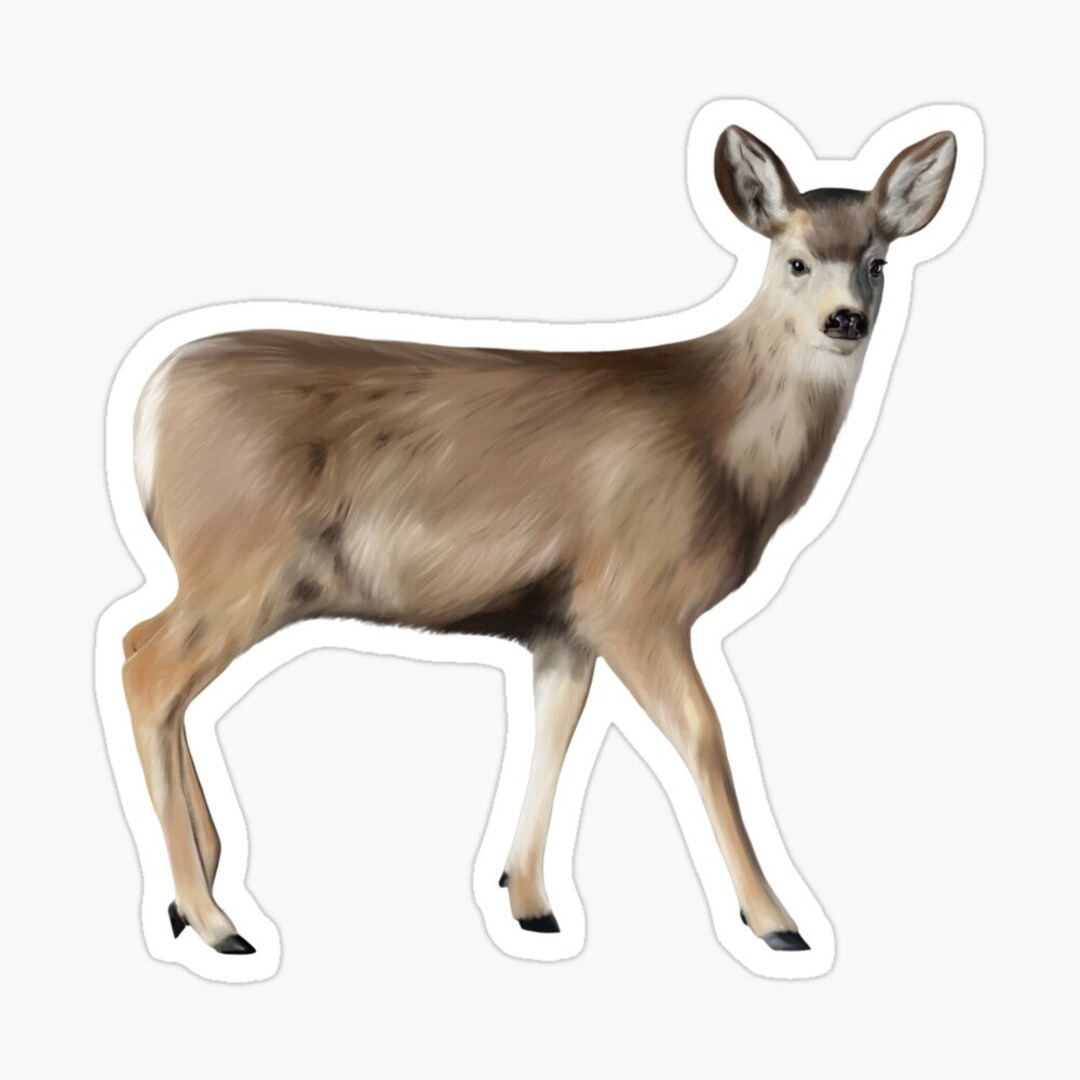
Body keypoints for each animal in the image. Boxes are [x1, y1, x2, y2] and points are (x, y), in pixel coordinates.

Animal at [120, 122, 957, 957]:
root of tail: (151, 402)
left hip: (234, 574)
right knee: (152, 674)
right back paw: (214, 919)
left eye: (877, 262)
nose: (845, 319)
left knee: (139, 643)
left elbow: (554, 733)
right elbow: (704, 733)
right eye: (796, 261)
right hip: (242, 559)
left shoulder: (564, 620)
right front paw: (775, 919)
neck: (723, 435)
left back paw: (193, 891)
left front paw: (528, 900)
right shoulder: (635, 597)